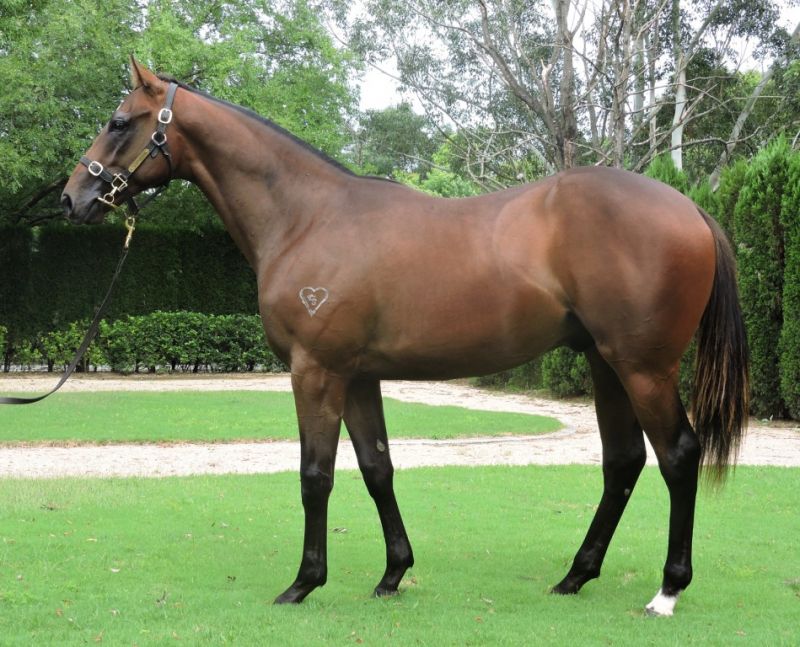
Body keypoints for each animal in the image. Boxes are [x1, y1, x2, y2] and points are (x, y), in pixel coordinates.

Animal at [61, 58, 749, 616]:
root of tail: (690, 208)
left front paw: (303, 583)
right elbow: (377, 468)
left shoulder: (316, 370)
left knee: (677, 456)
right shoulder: (359, 375)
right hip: (606, 364)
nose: (73, 198)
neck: (308, 216)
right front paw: (393, 574)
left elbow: (316, 474)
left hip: (643, 367)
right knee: (623, 461)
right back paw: (575, 576)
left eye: (119, 122)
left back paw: (667, 590)